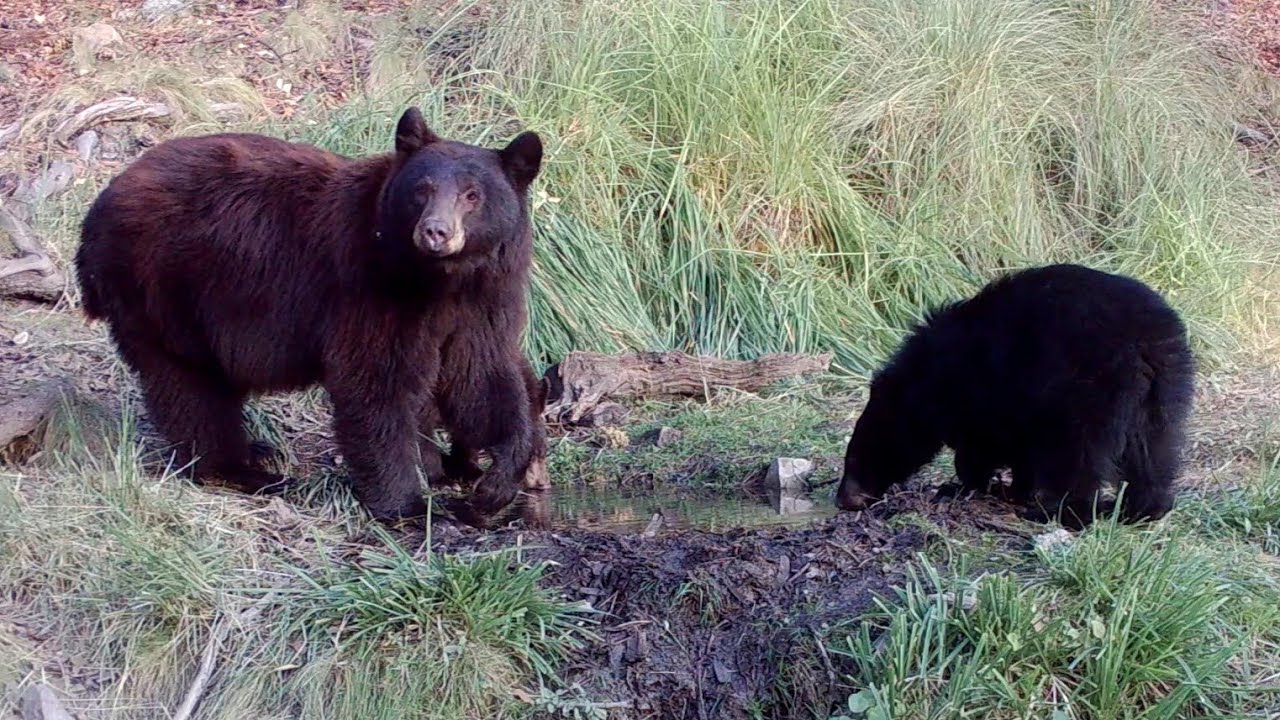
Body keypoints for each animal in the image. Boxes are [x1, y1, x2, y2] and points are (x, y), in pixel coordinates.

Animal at [74, 107, 547, 523]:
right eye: (422, 189)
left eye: (472, 195)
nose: (435, 231)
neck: (439, 281)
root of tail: (100, 204)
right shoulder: (372, 288)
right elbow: (375, 383)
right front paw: (409, 505)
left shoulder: (483, 301)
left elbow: (480, 377)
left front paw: (497, 481)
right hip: (163, 288)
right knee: (188, 385)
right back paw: (239, 470)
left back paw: (255, 452)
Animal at [834, 263, 1195, 528]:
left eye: (855, 458)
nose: (843, 499)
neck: (922, 378)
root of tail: (1142, 341)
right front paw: (1015, 489)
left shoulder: (985, 389)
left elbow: (983, 444)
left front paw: (968, 484)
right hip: (1165, 387)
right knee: (1154, 446)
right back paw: (1145, 509)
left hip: (1087, 388)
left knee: (1079, 453)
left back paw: (1064, 512)